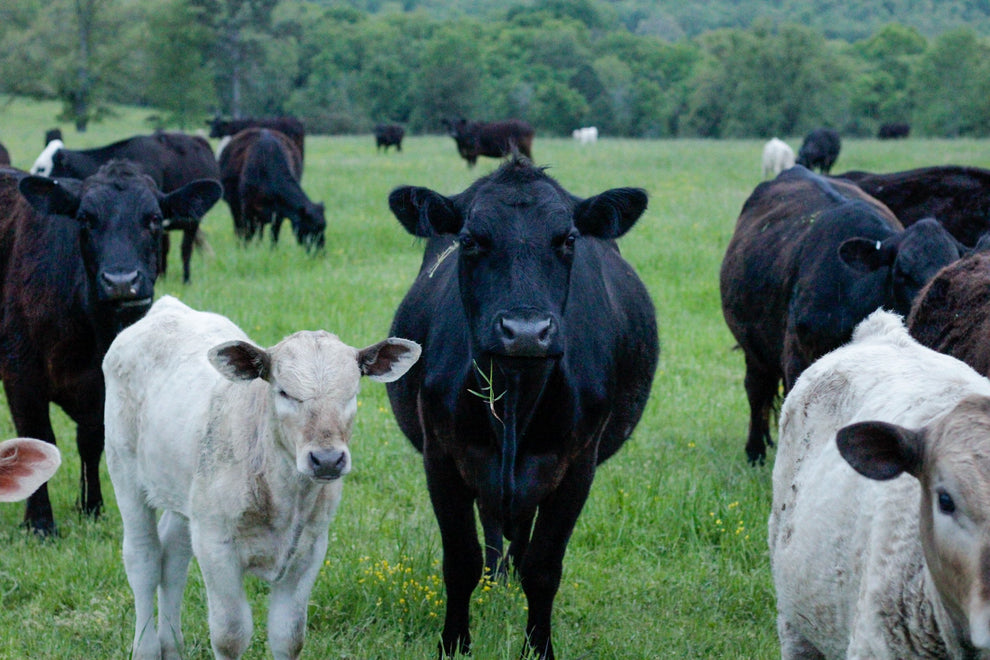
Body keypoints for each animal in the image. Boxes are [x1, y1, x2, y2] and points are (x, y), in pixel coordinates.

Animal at [0, 162, 221, 534]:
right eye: (85, 219)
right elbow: (38, 437)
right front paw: (40, 522)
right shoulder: (21, 375)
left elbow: (91, 442)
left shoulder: (106, 388)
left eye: (153, 218)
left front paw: (92, 507)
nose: (121, 281)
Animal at [103, 295, 420, 660]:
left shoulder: (310, 548)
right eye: (284, 392)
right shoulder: (215, 543)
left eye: (352, 393)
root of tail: (167, 308)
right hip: (124, 468)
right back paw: (147, 647)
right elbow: (230, 635)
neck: (285, 497)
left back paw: (172, 645)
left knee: (174, 555)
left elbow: (289, 636)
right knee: (144, 558)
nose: (327, 459)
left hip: (183, 490)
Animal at [386, 157, 659, 659]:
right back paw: (496, 579)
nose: (526, 331)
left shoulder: (576, 465)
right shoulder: (442, 456)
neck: (516, 392)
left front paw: (539, 648)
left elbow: (544, 567)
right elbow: (460, 560)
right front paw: (454, 644)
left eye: (568, 239)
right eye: (469, 240)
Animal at [720, 165, 968, 464]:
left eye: (949, 268)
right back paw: (754, 452)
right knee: (757, 390)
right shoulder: (796, 356)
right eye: (902, 271)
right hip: (754, 347)